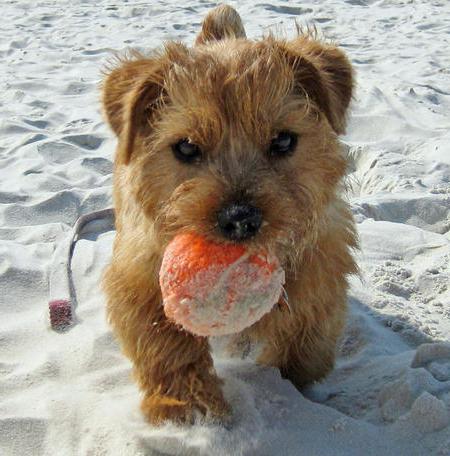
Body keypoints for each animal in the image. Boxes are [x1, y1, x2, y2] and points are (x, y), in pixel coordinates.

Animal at [102, 4, 358, 424]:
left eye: (283, 140)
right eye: (186, 147)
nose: (240, 218)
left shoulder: (322, 263)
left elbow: (308, 340)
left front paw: (289, 382)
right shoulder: (139, 277)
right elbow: (165, 345)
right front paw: (185, 407)